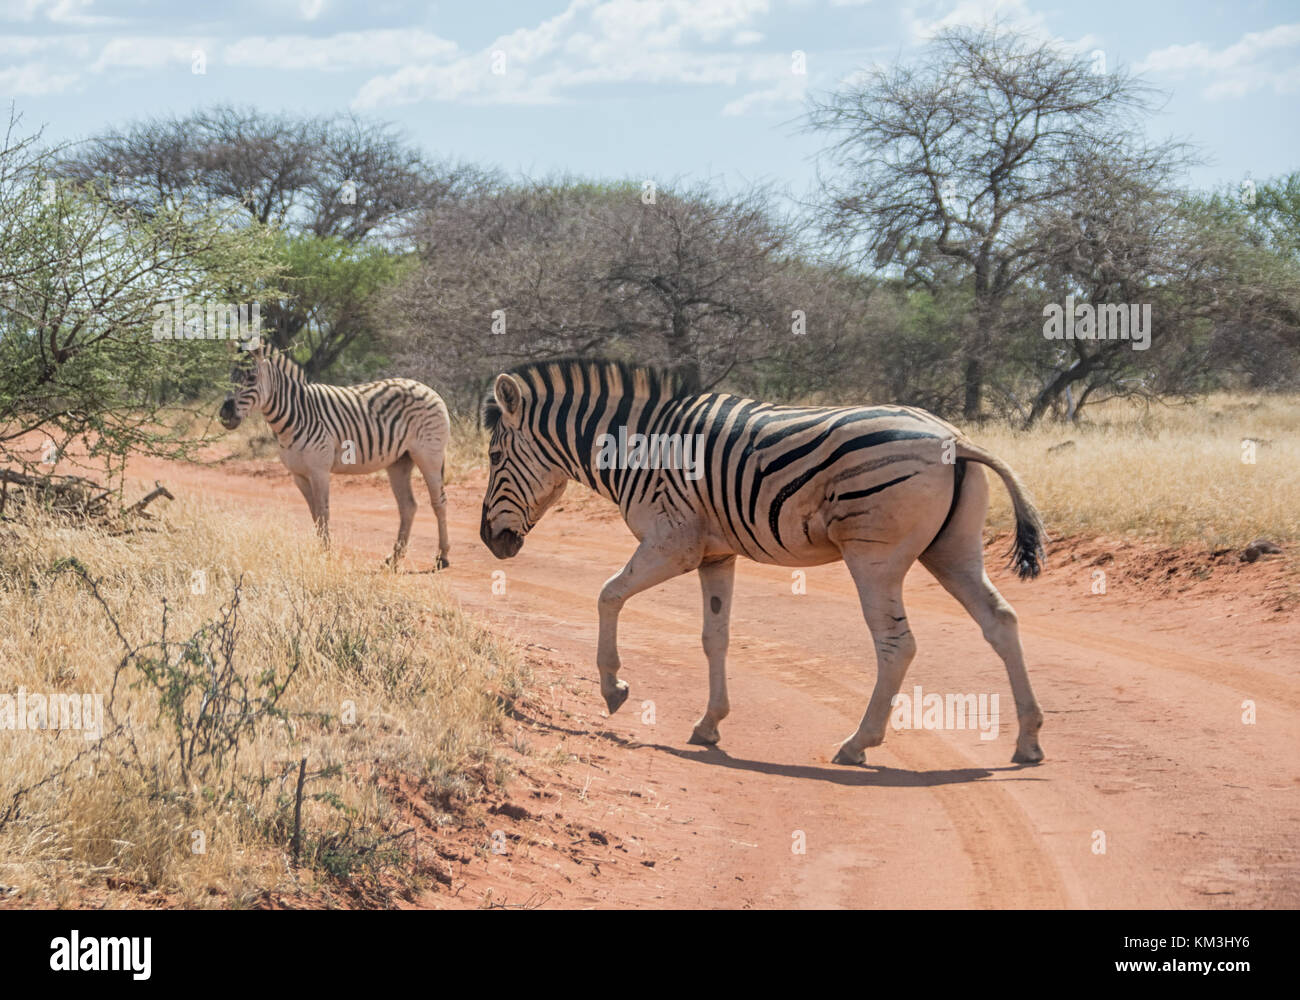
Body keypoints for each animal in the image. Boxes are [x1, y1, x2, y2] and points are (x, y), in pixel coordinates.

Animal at [219, 347, 451, 569]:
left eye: (251, 378)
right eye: (229, 377)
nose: (225, 414)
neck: (295, 416)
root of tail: (426, 388)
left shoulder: (319, 471)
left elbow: (323, 512)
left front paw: (326, 555)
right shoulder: (299, 475)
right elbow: (314, 514)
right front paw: (321, 551)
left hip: (429, 454)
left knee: (438, 502)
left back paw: (442, 556)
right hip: (399, 462)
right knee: (408, 506)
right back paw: (393, 559)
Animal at [480, 359, 1046, 765]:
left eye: (492, 457)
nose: (489, 540)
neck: (640, 448)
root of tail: (956, 438)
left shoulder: (673, 543)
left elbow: (608, 594)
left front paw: (613, 688)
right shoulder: (715, 554)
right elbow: (715, 637)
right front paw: (710, 724)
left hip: (875, 557)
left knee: (896, 645)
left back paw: (858, 743)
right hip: (953, 551)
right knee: (1001, 621)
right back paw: (1029, 739)